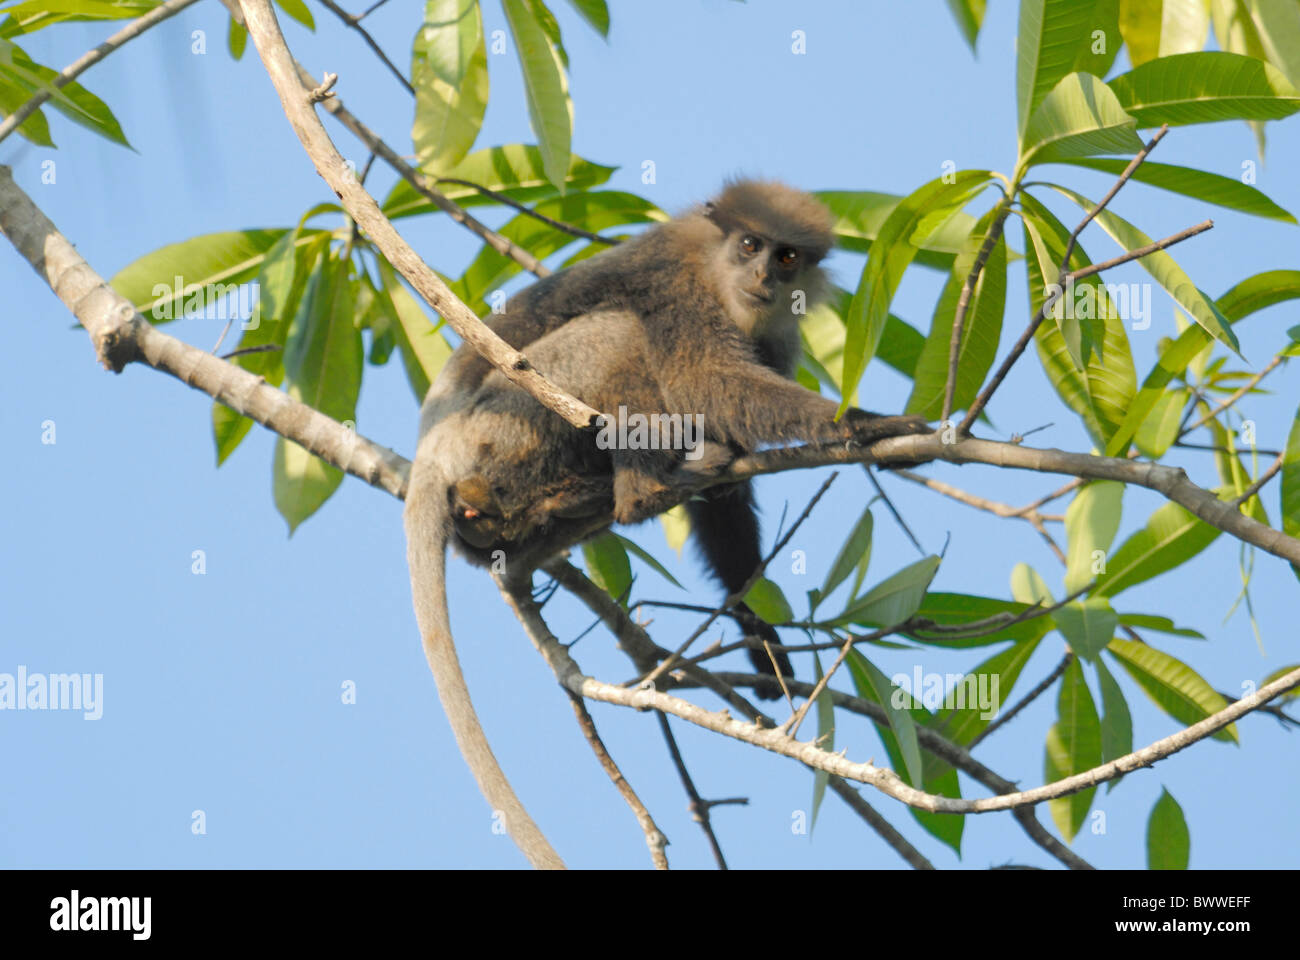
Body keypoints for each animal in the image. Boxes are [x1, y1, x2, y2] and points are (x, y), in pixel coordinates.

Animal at [403, 180, 931, 867]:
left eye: (787, 257)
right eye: (750, 244)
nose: (763, 274)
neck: (719, 274)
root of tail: (434, 450)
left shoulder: (779, 336)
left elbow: (728, 501)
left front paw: (765, 648)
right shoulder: (680, 289)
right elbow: (709, 381)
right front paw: (869, 424)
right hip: (505, 426)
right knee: (623, 327)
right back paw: (638, 490)